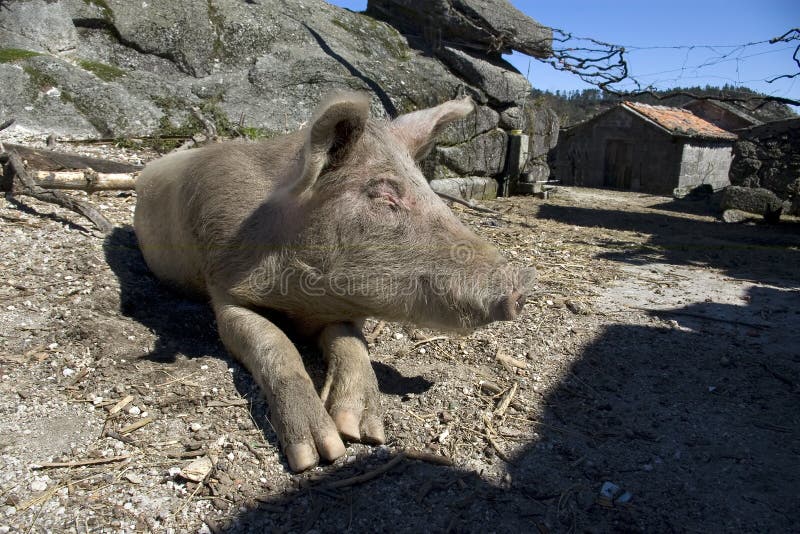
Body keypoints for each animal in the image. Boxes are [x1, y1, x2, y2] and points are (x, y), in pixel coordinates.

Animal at [134, 92, 535, 472]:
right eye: (383, 193)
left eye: (429, 190)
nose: (522, 285)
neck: (303, 301)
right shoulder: (224, 290)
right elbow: (274, 343)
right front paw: (319, 453)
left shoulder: (344, 308)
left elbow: (353, 343)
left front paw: (364, 432)